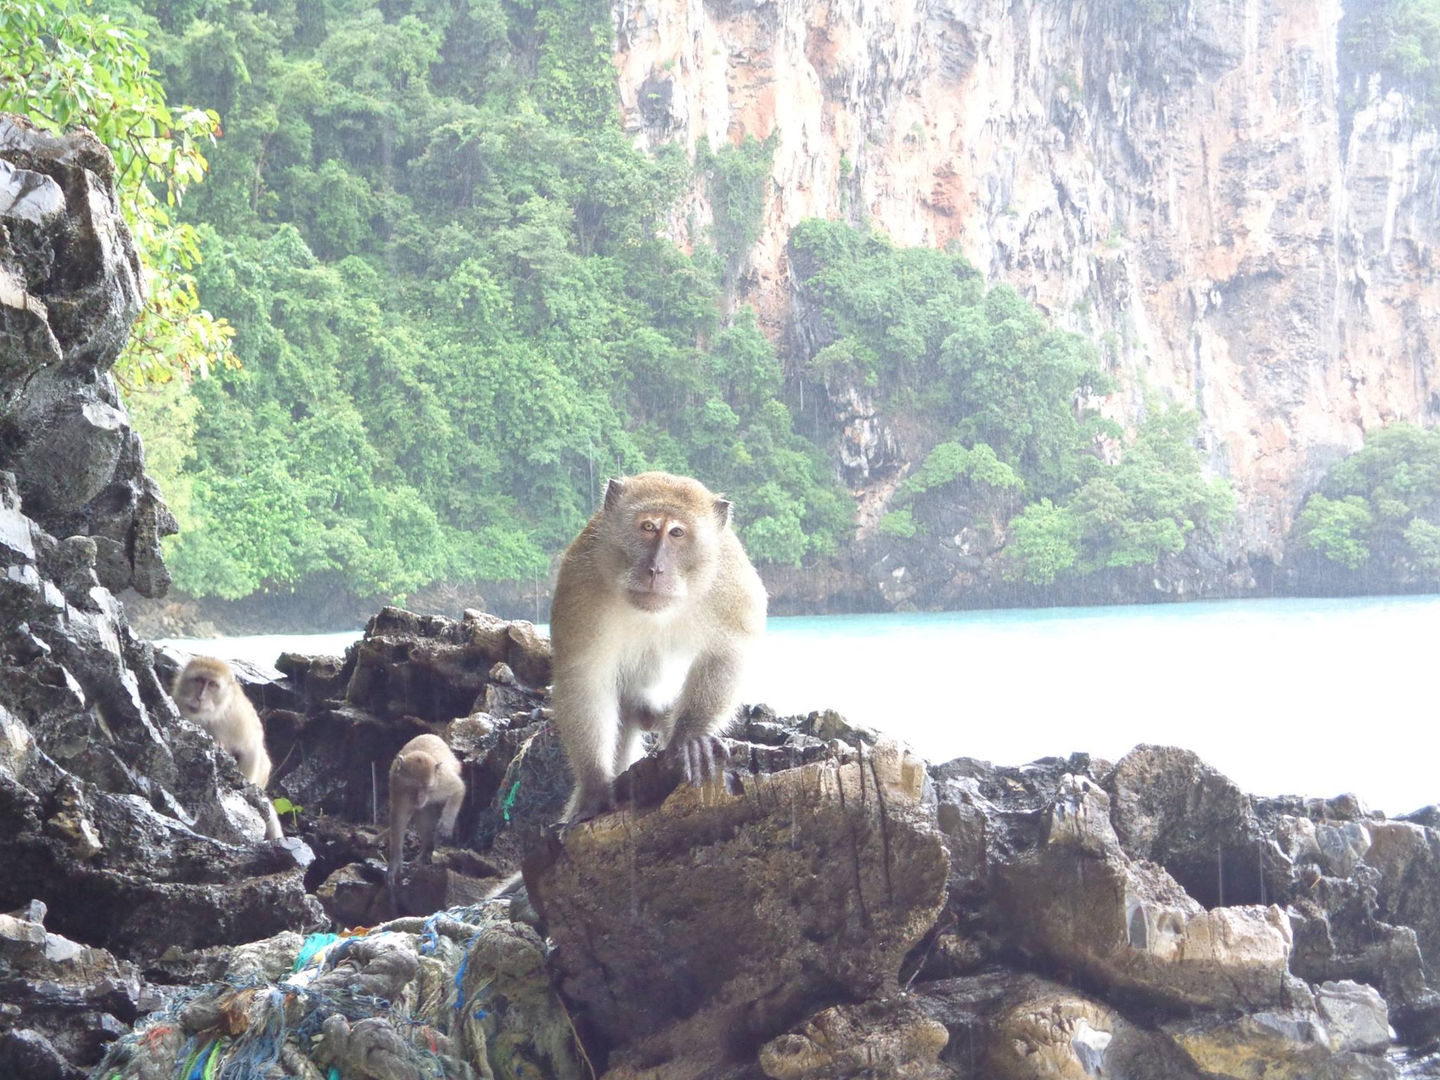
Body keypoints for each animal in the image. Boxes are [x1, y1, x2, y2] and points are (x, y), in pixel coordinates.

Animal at [172, 656, 283, 840]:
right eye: (199, 680)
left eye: (212, 684)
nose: (200, 697)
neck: (212, 715)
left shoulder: (239, 719)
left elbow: (251, 751)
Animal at [386, 733, 466, 886]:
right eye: (414, 787)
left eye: (426, 788)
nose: (420, 799)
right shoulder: (398, 788)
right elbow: (399, 818)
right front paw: (396, 861)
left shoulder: (441, 783)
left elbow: (458, 789)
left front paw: (446, 824)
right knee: (422, 815)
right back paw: (426, 850)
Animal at [549, 471, 767, 823]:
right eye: (648, 527)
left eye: (677, 532)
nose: (655, 568)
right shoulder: (580, 583)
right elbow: (584, 677)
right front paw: (595, 784)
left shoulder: (730, 583)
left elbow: (726, 652)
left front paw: (690, 737)